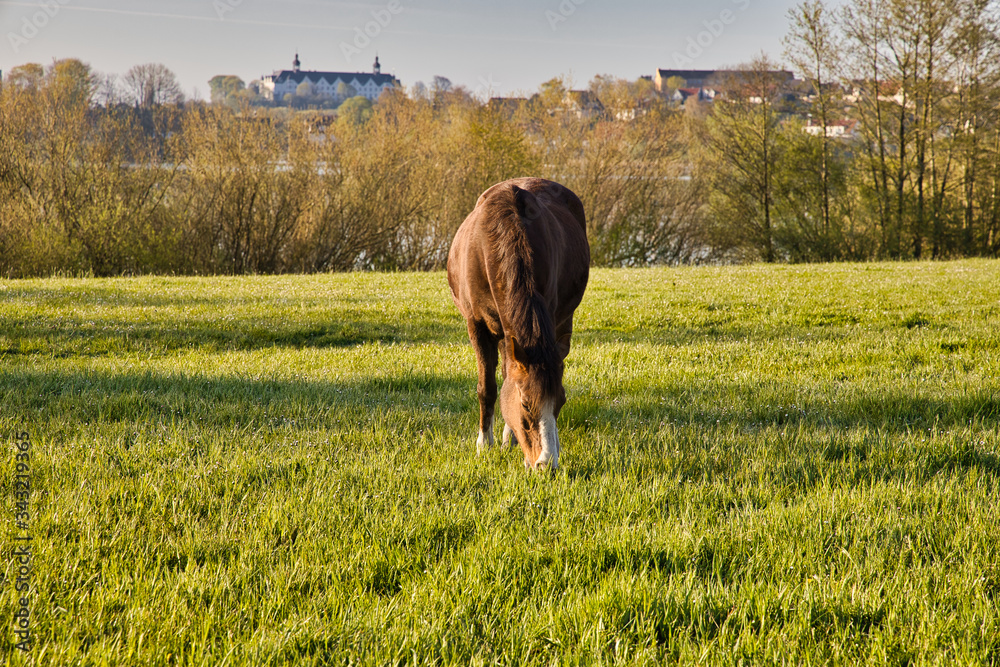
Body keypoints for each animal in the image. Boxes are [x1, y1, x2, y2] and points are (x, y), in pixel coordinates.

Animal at [447, 177, 590, 471]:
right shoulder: (476, 325)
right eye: (525, 404)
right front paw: (484, 444)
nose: (547, 464)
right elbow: (488, 388)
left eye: (561, 402)